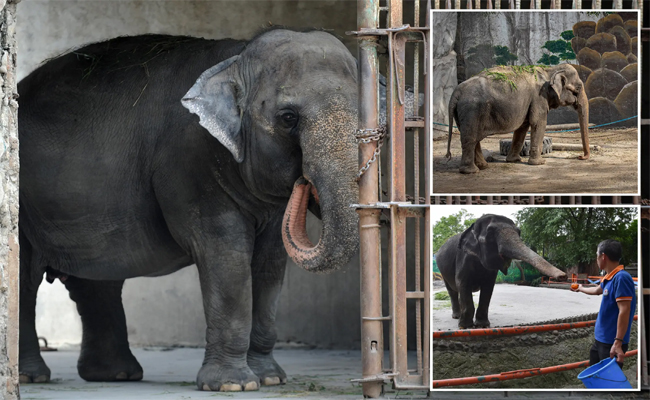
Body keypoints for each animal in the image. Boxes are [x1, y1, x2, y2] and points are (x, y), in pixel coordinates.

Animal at [18, 30, 360, 392]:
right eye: (288, 118)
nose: (303, 182)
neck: (236, 58)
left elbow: (270, 264)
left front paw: (269, 379)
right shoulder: (192, 165)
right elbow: (227, 255)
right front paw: (233, 385)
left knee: (99, 279)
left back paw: (116, 375)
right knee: (27, 279)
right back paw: (32, 376)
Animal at [435, 214, 566, 329]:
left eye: (519, 232)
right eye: (490, 233)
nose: (563, 276)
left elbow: (488, 287)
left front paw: (483, 325)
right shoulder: (463, 258)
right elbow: (463, 283)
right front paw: (465, 327)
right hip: (442, 271)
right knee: (452, 291)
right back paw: (456, 317)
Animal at [446, 64, 590, 174]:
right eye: (578, 88)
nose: (581, 157)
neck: (549, 70)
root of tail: (456, 91)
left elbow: (522, 128)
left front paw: (515, 160)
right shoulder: (539, 97)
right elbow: (538, 123)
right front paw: (540, 163)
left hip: (464, 113)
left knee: (473, 138)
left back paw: (483, 166)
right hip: (471, 110)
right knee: (470, 138)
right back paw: (471, 171)